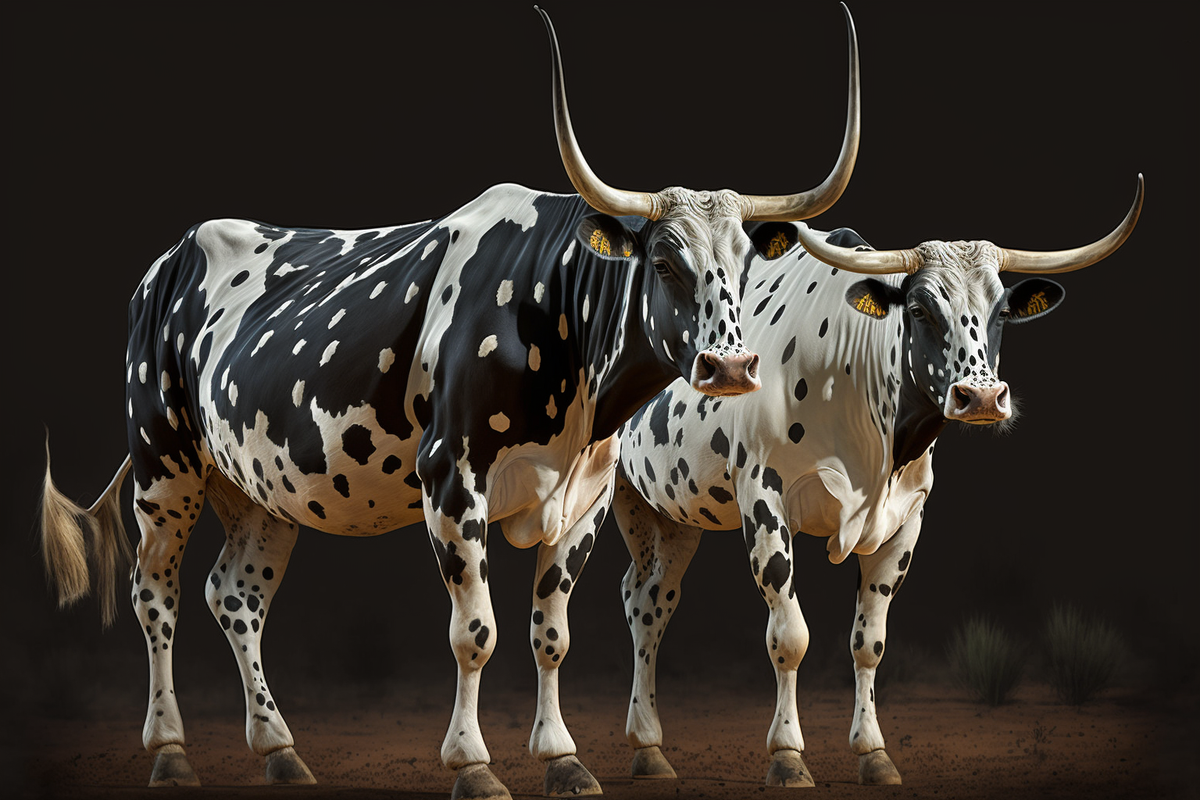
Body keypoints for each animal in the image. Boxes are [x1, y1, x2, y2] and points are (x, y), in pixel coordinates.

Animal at [37, 7, 863, 799]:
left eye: (747, 262)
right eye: (663, 261)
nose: (731, 365)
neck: (552, 313)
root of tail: (171, 257)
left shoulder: (585, 498)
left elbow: (550, 633)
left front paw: (562, 759)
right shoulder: (451, 477)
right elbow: (476, 632)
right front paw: (473, 762)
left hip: (258, 491)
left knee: (233, 595)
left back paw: (279, 750)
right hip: (163, 461)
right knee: (157, 594)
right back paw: (171, 750)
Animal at [610, 175, 1142, 788]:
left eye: (1002, 311)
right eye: (918, 307)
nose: (983, 397)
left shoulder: (905, 522)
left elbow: (870, 643)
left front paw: (874, 753)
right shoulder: (763, 501)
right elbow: (790, 635)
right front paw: (787, 755)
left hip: (674, 516)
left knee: (650, 600)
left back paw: (649, 748)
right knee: (640, 603)